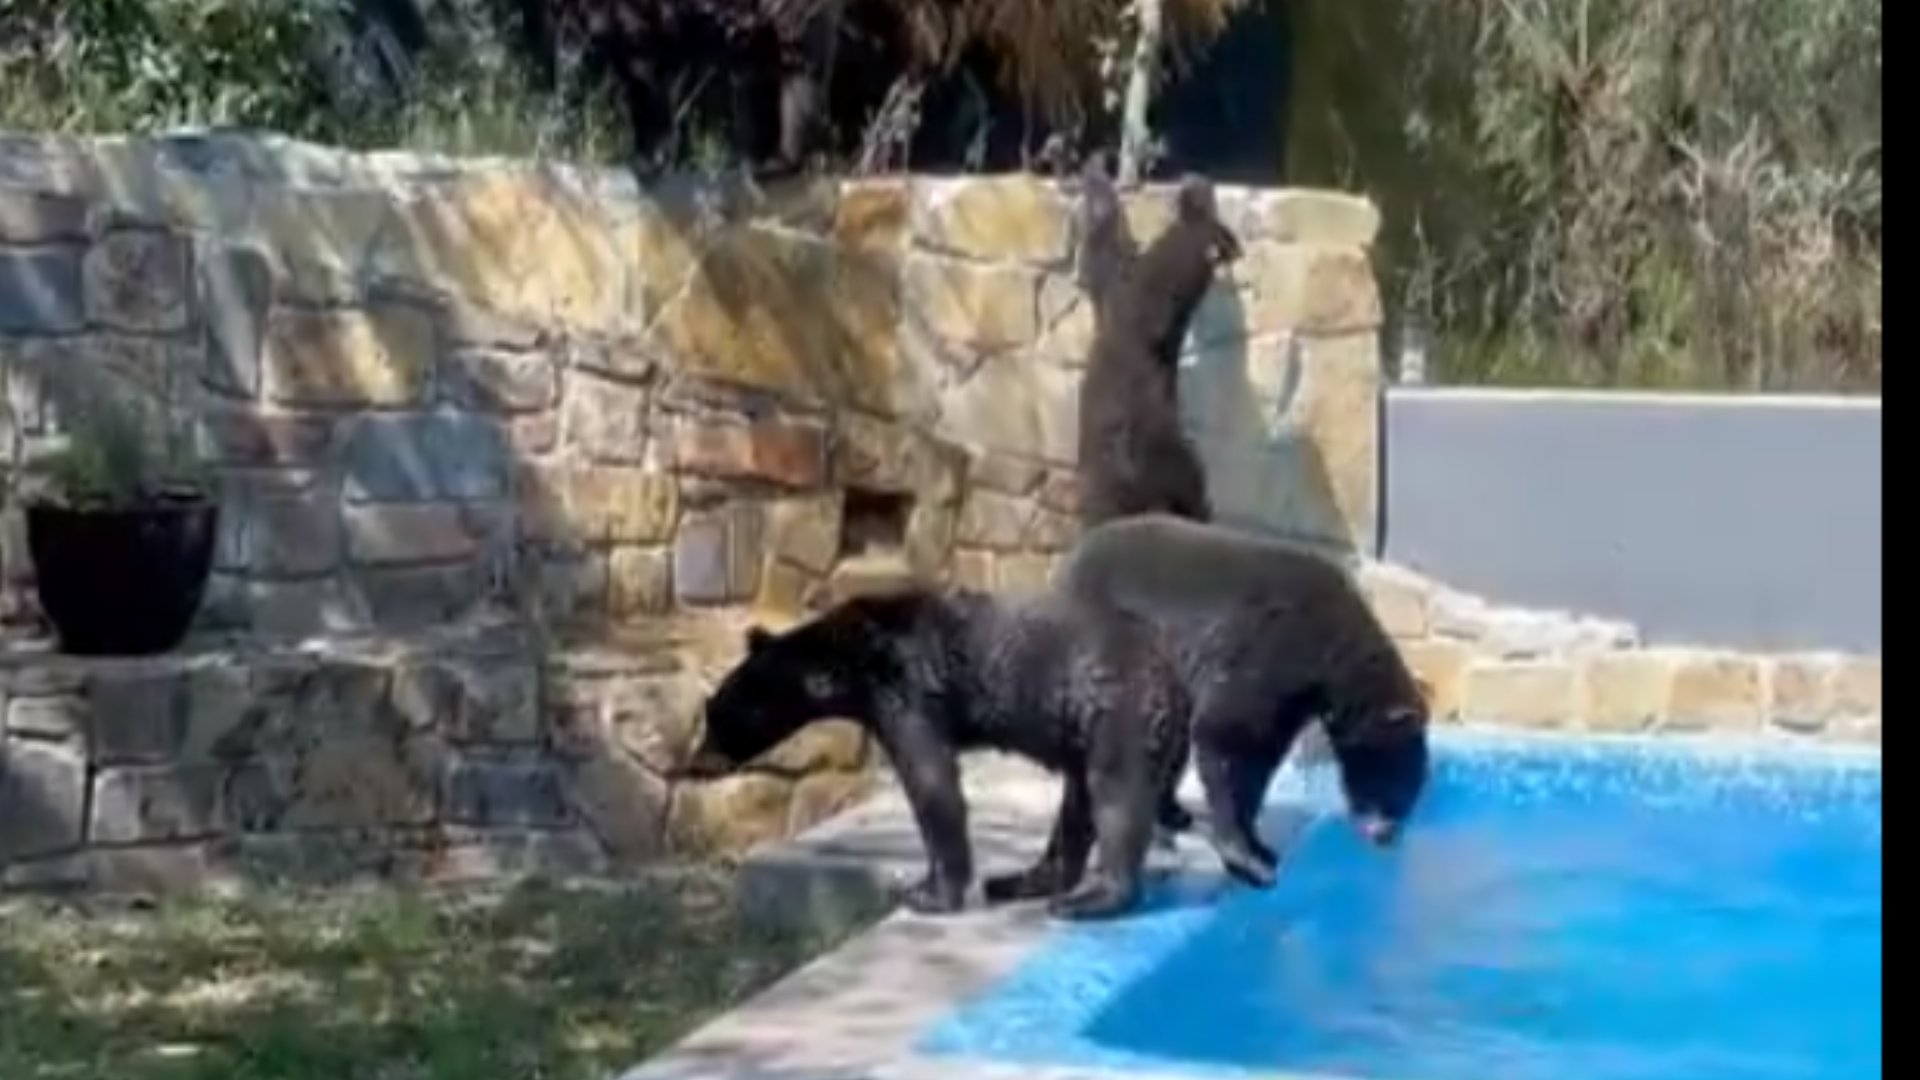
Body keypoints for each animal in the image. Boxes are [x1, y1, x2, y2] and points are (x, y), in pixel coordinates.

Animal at [689, 587, 1192, 920]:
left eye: (716, 719)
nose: (696, 762)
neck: (846, 660)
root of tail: (1172, 670)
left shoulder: (906, 693)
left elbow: (931, 781)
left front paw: (929, 894)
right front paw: (927, 885)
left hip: (1119, 711)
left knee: (1114, 795)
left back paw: (1089, 898)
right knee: (1077, 805)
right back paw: (1020, 880)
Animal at [1049, 513, 1432, 890]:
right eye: (1398, 784)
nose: (1386, 835)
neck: (1331, 652)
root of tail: (1071, 557)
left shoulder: (1290, 697)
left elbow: (1260, 750)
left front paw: (1260, 847)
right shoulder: (1270, 652)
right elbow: (1228, 737)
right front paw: (1249, 857)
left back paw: (1172, 810)